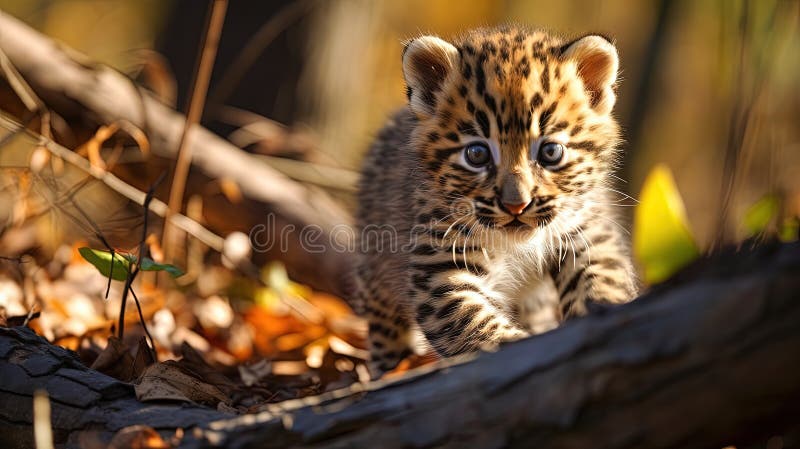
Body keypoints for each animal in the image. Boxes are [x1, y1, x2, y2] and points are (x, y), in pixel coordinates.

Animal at [354, 26, 638, 377]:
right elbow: (475, 325)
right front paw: (515, 347)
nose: (516, 205)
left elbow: (602, 283)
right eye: (476, 154)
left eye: (551, 152)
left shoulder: (588, 234)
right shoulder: (439, 267)